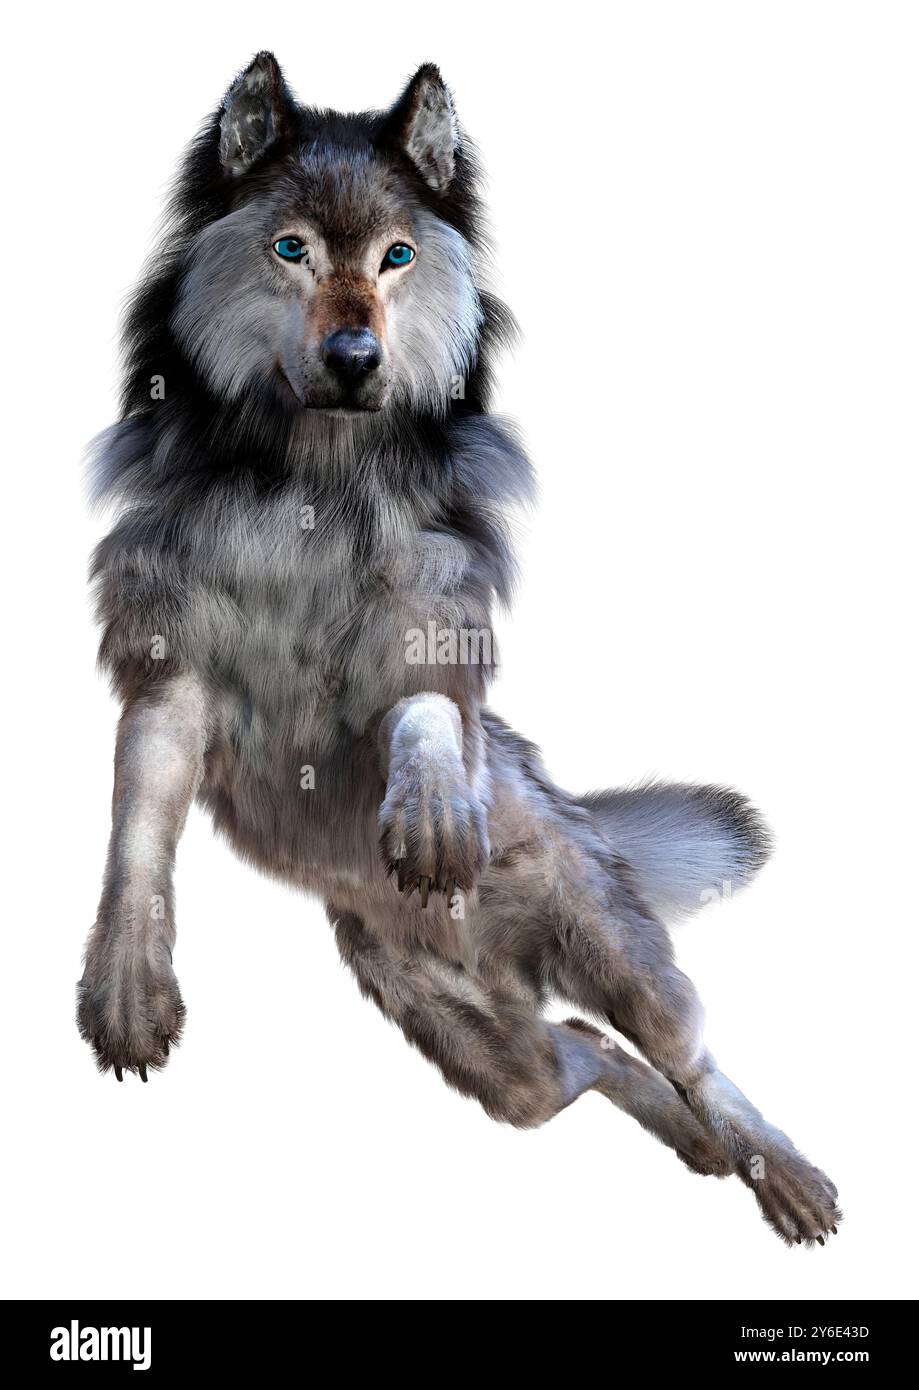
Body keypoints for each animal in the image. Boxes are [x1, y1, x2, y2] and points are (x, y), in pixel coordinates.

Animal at [78, 52, 840, 1246]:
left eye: (396, 255)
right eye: (292, 248)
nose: (354, 356)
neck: (314, 482)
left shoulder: (428, 622)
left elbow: (428, 705)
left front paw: (435, 811)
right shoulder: (170, 675)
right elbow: (136, 837)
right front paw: (126, 990)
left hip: (613, 953)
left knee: (688, 1053)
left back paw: (776, 1168)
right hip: (497, 1063)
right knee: (587, 1055)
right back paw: (693, 1145)